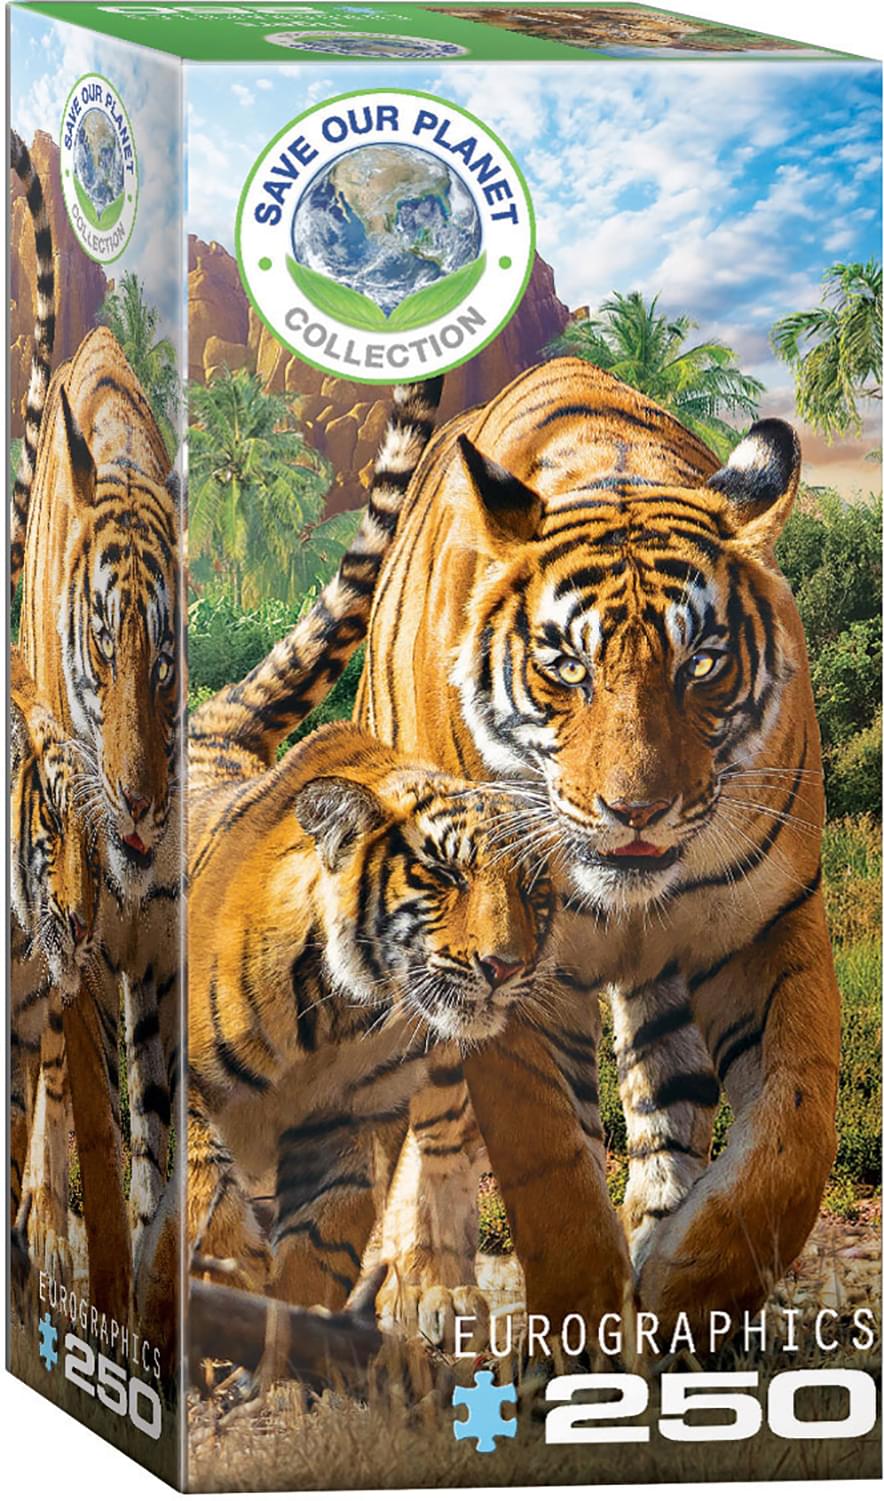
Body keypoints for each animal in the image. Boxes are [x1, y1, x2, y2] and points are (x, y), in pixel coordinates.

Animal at [352, 355, 840, 1339]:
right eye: (566, 667)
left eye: (701, 663)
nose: (636, 810)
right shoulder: (507, 976)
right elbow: (552, 1173)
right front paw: (583, 1331)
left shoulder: (772, 922)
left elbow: (794, 1132)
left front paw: (689, 1283)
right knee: (424, 1117)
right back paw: (427, 1286)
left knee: (666, 1096)